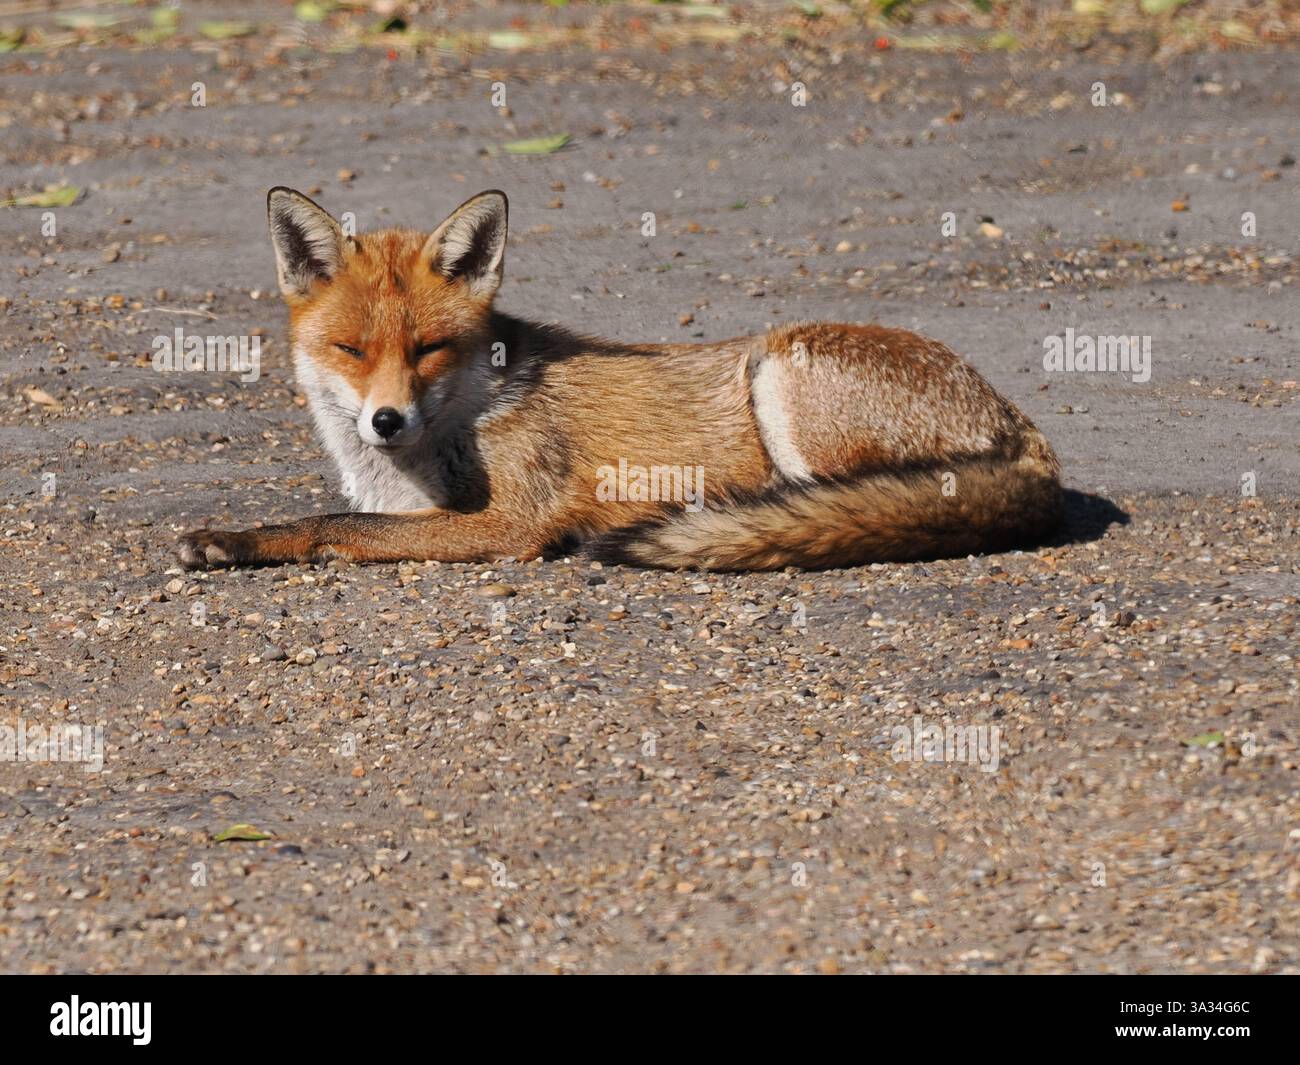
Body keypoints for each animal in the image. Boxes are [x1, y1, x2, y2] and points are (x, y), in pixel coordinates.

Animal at [178, 187, 1062, 571]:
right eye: (352, 349)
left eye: (429, 347)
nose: (386, 421)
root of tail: (1026, 430)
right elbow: (354, 515)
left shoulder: (509, 523)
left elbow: (338, 522)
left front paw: (239, 540)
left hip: (782, 373)